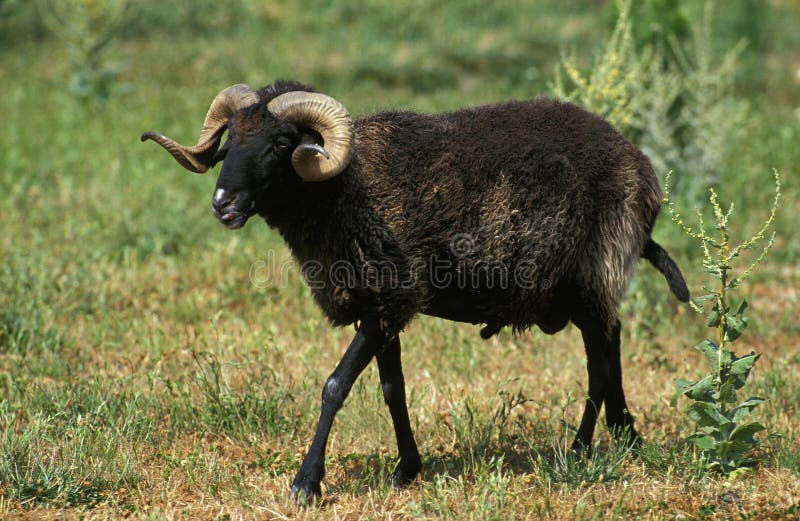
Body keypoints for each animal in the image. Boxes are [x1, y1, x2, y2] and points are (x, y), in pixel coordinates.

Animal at [141, 79, 689, 504]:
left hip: (594, 273)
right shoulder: (380, 309)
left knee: (599, 362)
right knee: (611, 344)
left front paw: (306, 483)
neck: (345, 191)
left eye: (280, 143)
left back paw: (580, 450)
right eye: (230, 139)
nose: (223, 203)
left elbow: (334, 387)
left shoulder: (389, 299)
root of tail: (642, 169)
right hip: (586, 287)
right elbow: (392, 389)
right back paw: (625, 434)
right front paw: (407, 469)